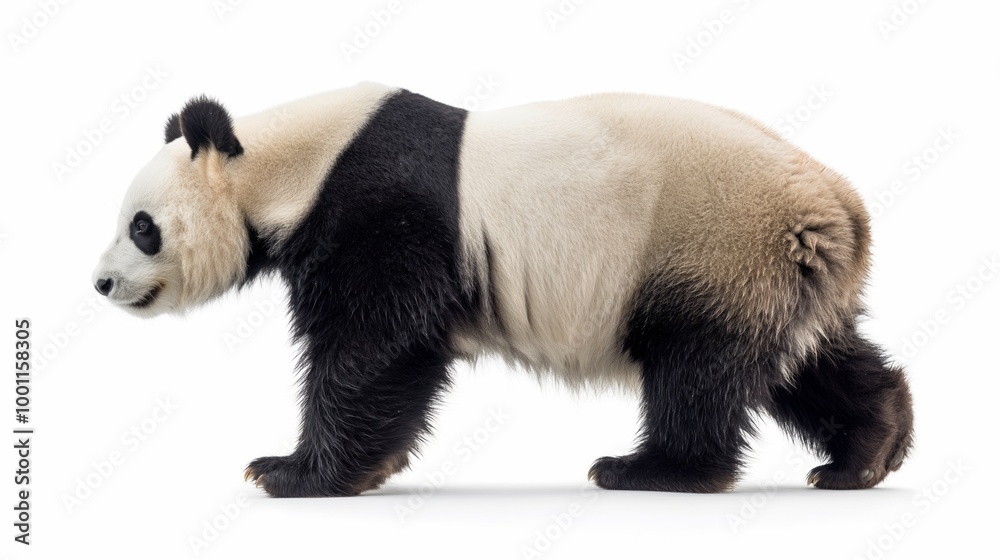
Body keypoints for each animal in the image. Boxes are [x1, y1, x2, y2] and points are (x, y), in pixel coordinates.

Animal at [92, 82, 913, 497]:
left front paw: (291, 472)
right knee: (809, 364)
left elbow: (374, 346)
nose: (101, 283)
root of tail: (840, 207)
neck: (291, 161)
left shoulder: (379, 207)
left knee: (696, 367)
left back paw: (652, 470)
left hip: (710, 244)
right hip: (774, 271)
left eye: (142, 227)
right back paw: (864, 455)